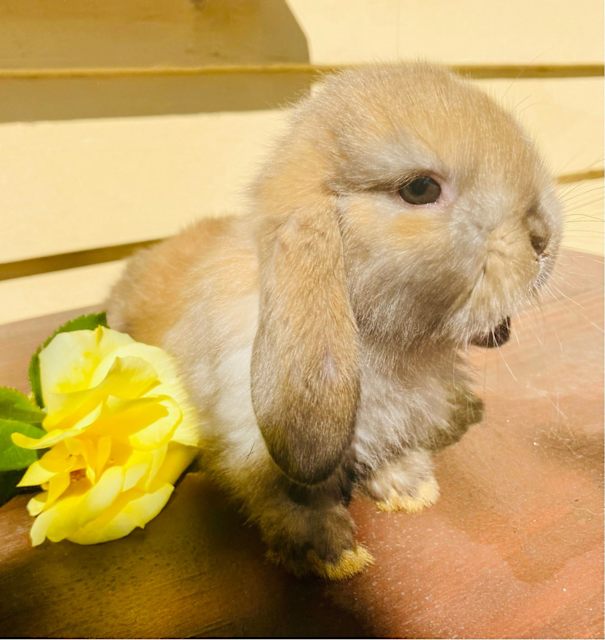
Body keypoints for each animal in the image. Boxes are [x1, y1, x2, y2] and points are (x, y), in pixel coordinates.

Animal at [106, 62, 562, 580]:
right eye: (420, 189)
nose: (544, 239)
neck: (377, 336)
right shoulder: (253, 446)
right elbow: (291, 500)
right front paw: (329, 554)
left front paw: (410, 488)